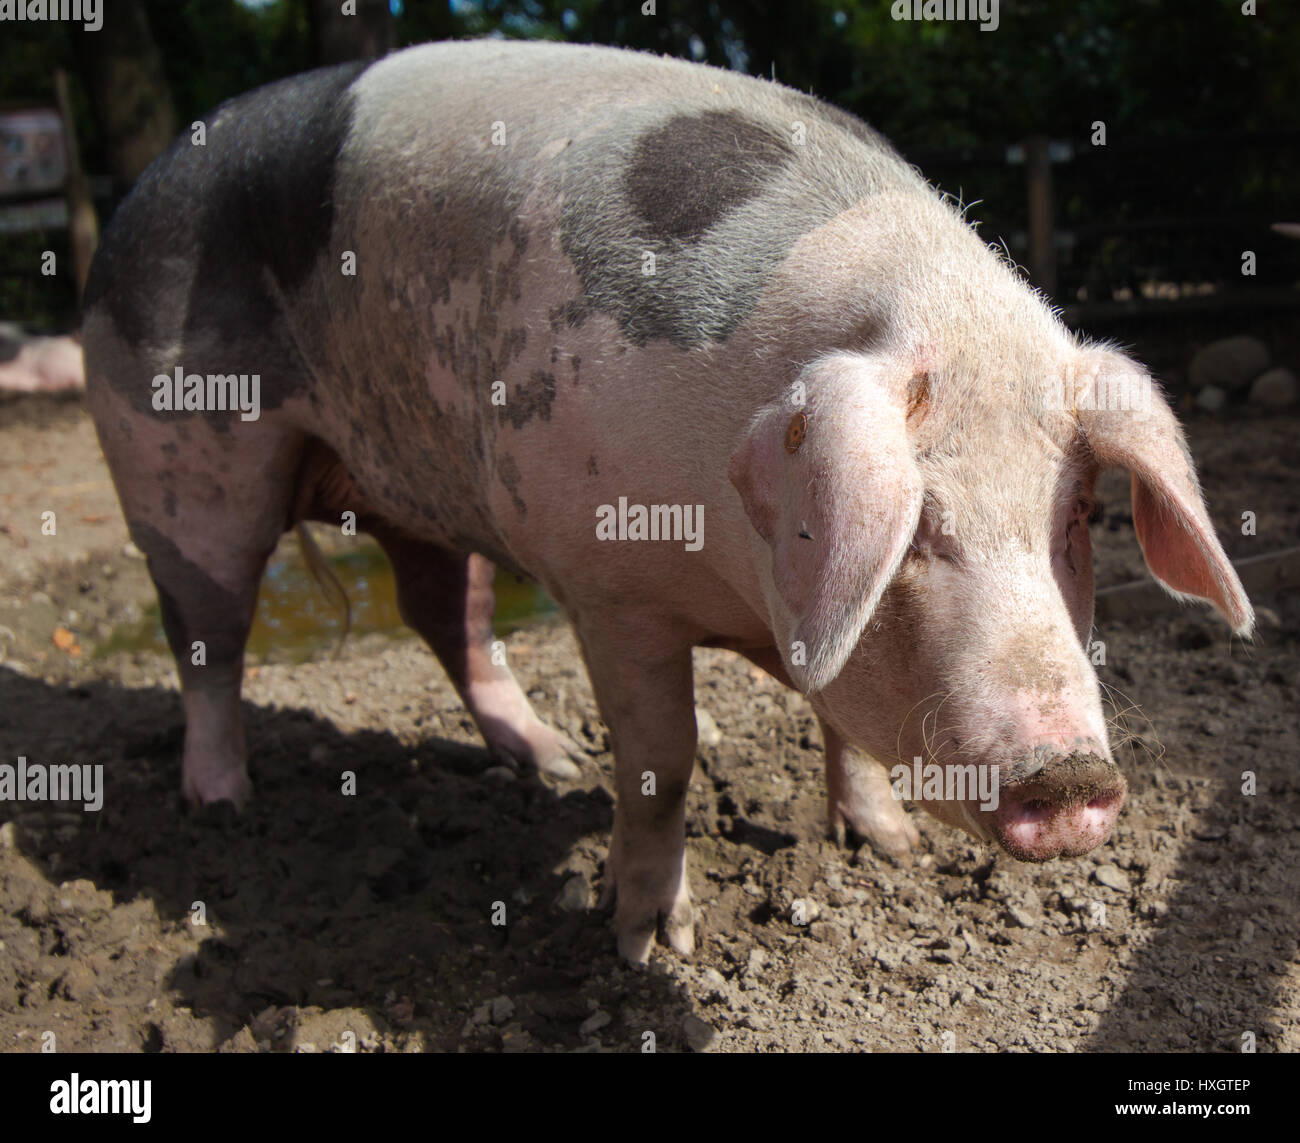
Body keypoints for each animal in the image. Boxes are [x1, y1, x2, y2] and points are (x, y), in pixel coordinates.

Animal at [82, 40, 1252, 963]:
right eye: (915, 530)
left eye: (1077, 517)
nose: (1072, 776)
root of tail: (137, 195)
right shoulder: (608, 585)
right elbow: (661, 764)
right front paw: (651, 945)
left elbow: (842, 729)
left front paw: (888, 846)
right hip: (177, 458)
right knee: (207, 635)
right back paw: (223, 807)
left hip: (420, 492)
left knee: (441, 614)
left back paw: (546, 759)